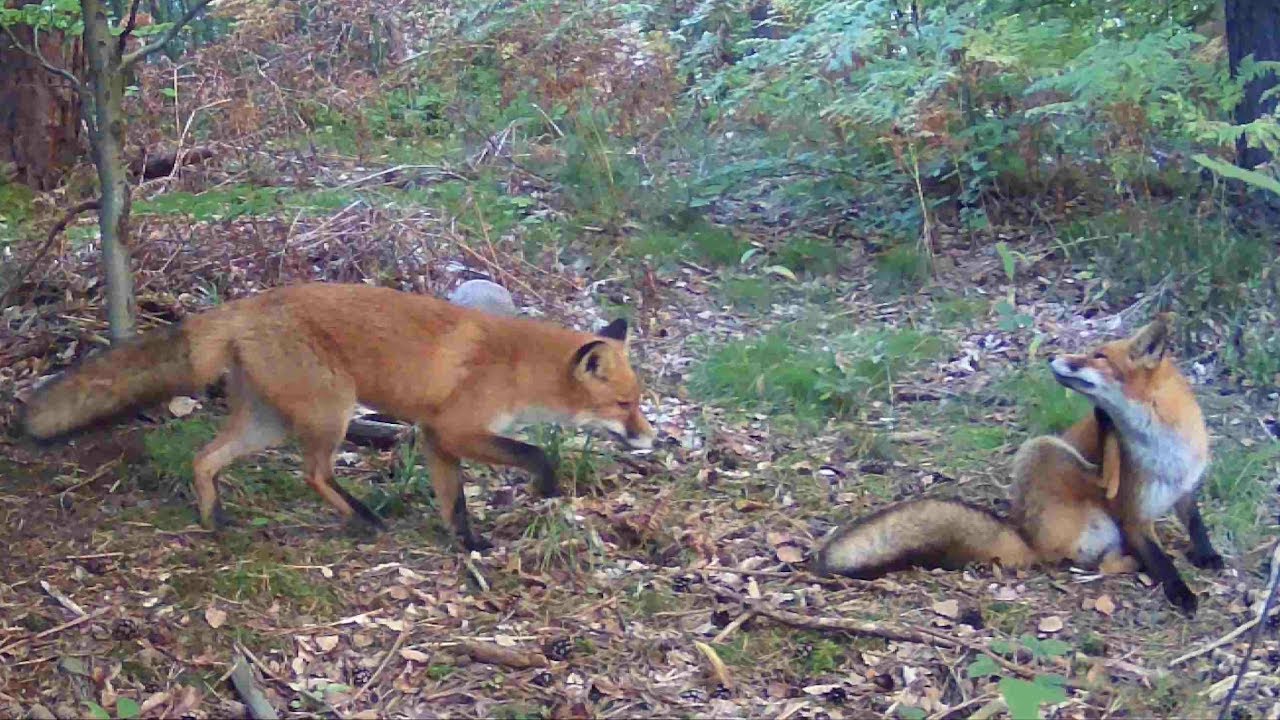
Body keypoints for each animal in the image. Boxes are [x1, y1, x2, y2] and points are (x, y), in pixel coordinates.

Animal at [19, 282, 657, 551]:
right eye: (625, 405)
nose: (652, 438)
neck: (517, 365)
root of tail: (247, 304)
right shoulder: (453, 428)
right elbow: (534, 451)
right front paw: (546, 484)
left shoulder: (434, 438)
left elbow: (453, 502)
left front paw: (469, 546)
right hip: (333, 411)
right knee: (315, 473)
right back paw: (363, 516)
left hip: (268, 422)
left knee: (205, 458)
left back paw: (213, 516)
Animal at [815, 314, 1221, 615]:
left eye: (1099, 357)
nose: (1051, 357)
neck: (1163, 448)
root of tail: (1026, 538)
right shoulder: (1132, 514)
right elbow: (1161, 561)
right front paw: (1181, 592)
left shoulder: (1185, 486)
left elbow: (1196, 522)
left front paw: (1207, 555)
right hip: (1044, 449)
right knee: (1102, 517)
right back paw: (1106, 428)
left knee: (1103, 562)